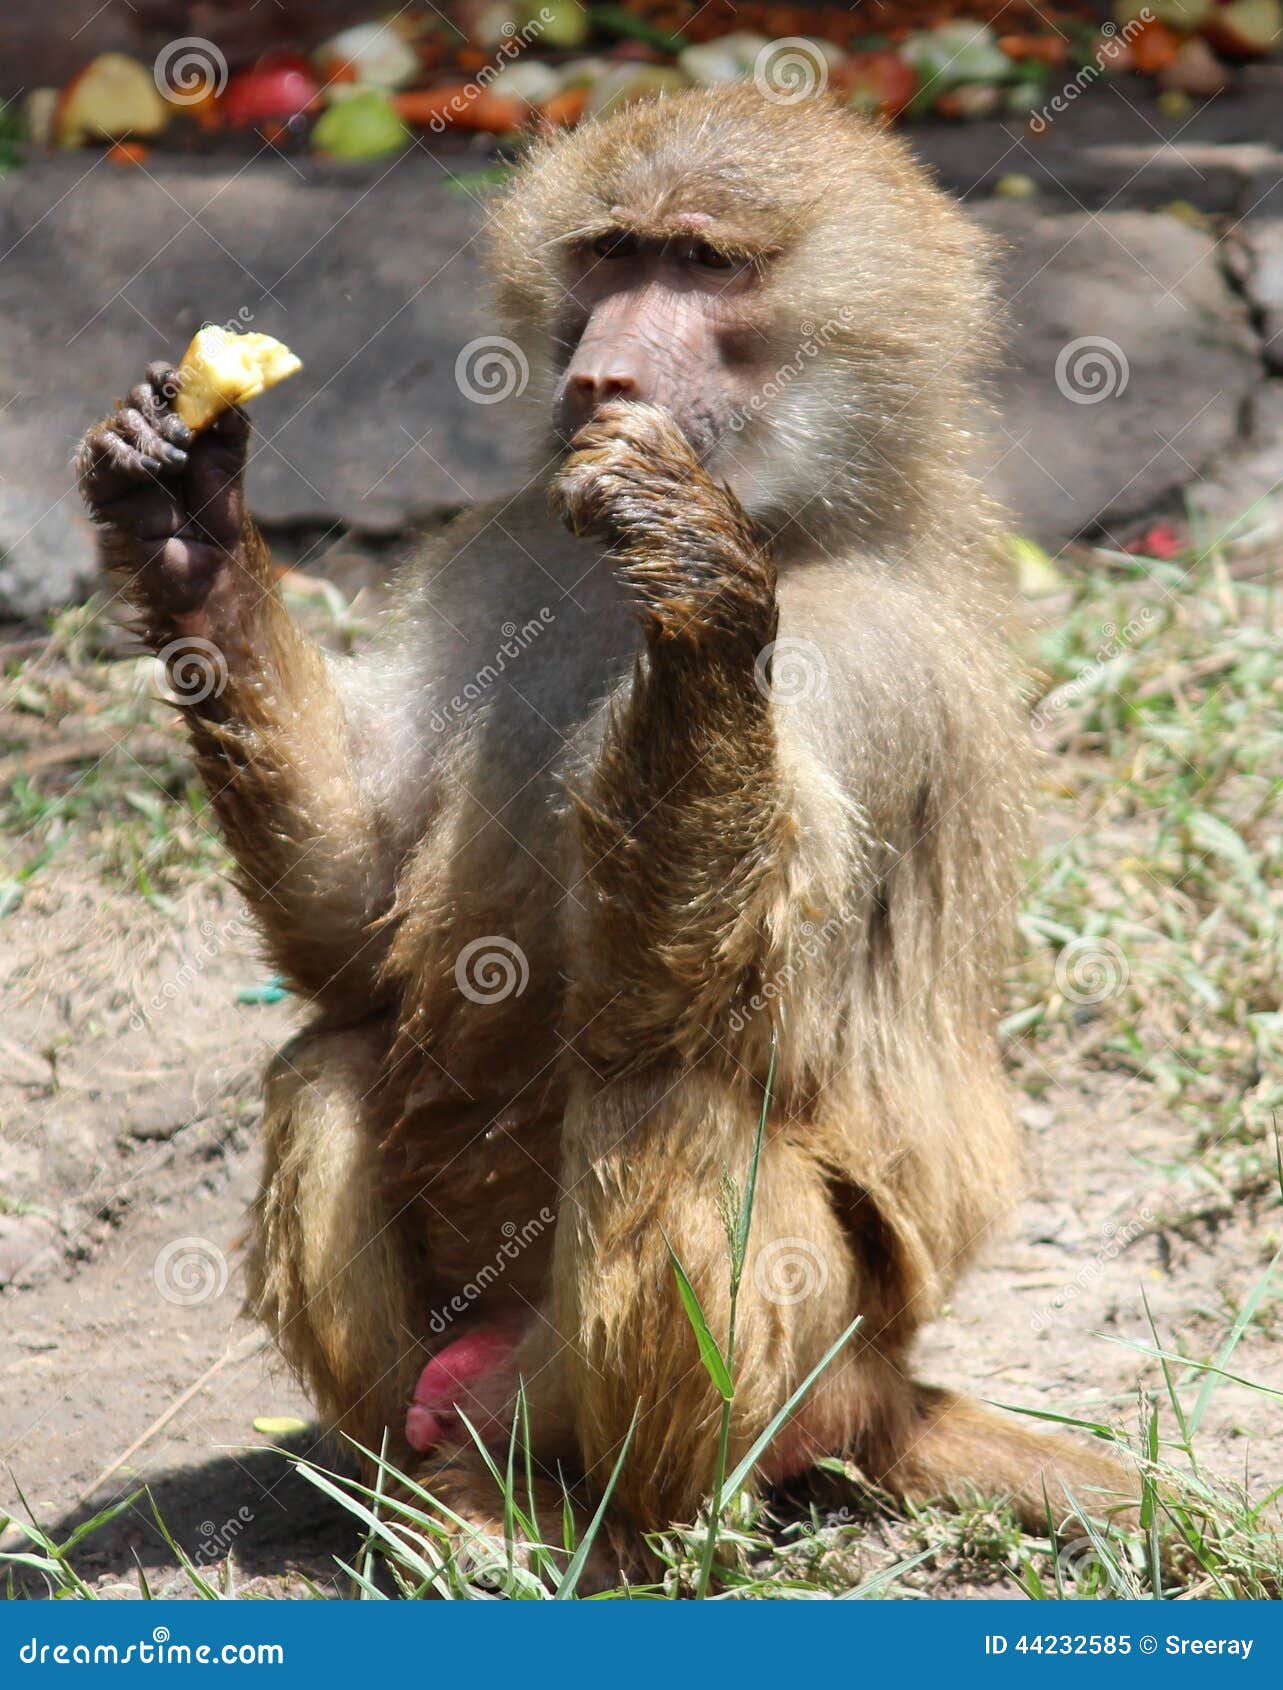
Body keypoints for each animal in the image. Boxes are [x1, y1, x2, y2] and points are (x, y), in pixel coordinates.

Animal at [77, 86, 1131, 1582]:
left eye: (701, 263)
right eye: (611, 256)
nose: (604, 375)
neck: (785, 514)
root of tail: (882, 1391)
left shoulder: (868, 662)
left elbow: (682, 1001)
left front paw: (692, 590)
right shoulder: (510, 549)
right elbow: (361, 930)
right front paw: (186, 530)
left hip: (786, 1378)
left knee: (664, 1098)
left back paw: (628, 1528)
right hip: (462, 1353)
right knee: (326, 1060)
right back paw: (433, 1501)